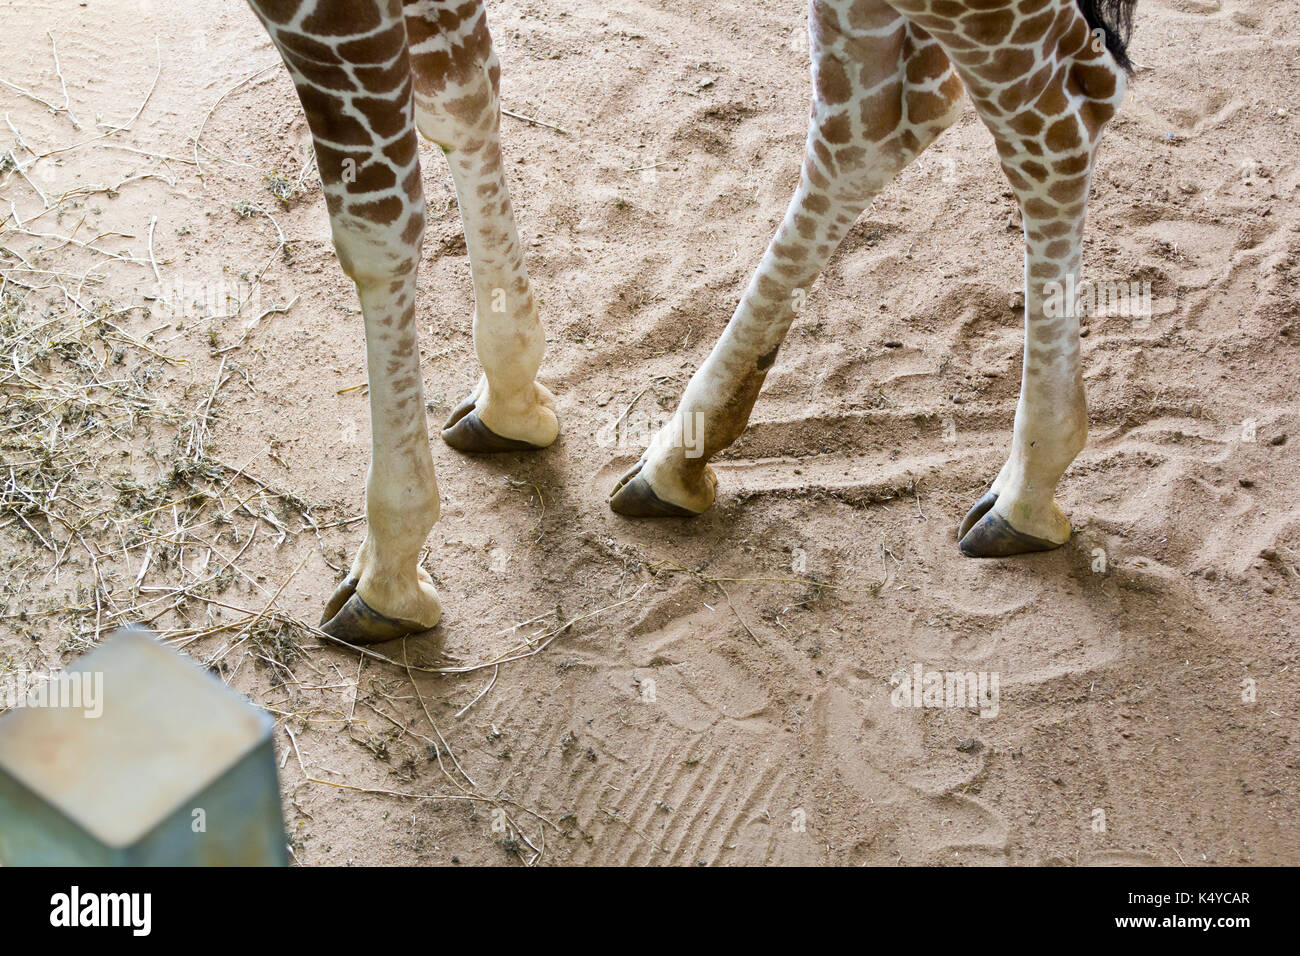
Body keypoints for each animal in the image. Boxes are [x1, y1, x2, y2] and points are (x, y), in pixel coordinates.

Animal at [244, 0, 1136, 643]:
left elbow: (378, 227)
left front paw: (389, 572)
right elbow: (461, 93)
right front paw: (512, 396)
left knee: (1056, 104)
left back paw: (1026, 489)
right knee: (876, 118)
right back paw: (679, 457)